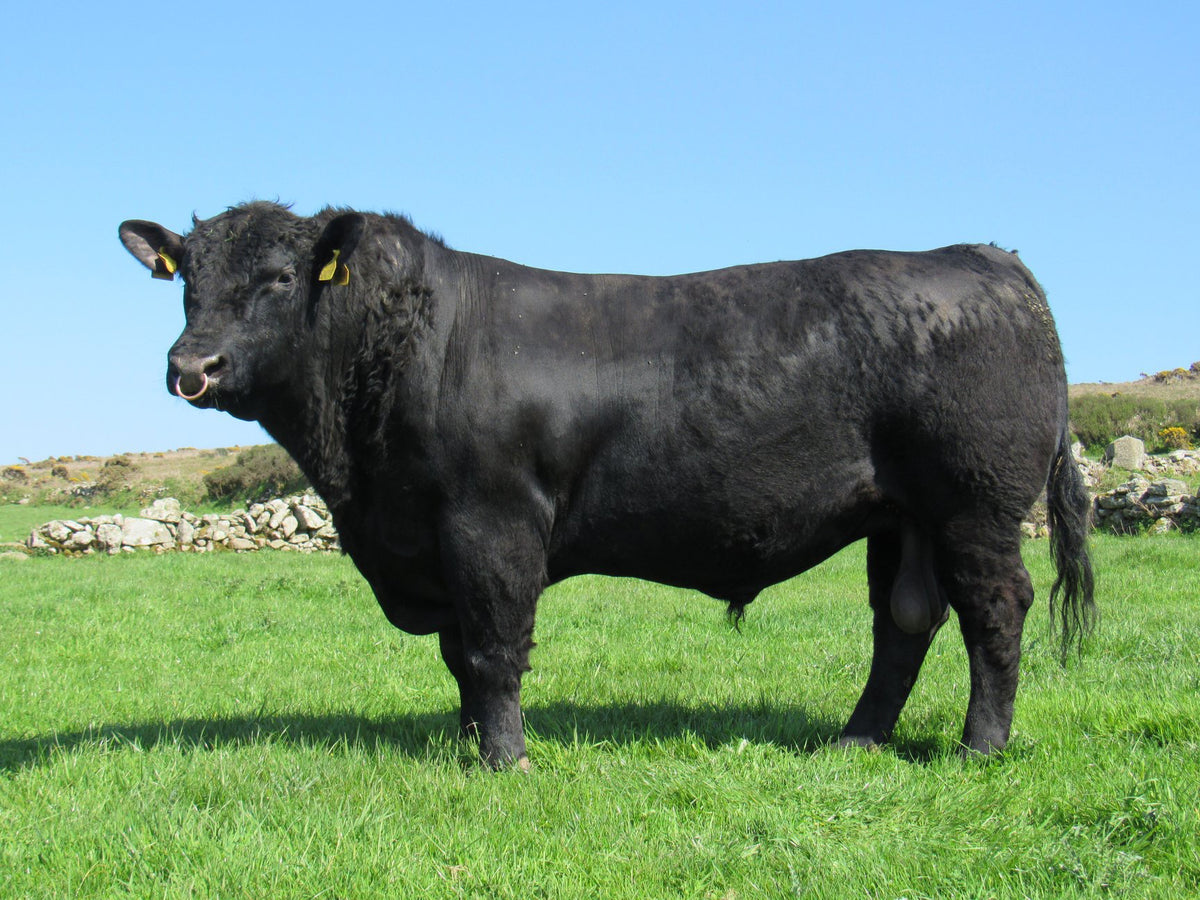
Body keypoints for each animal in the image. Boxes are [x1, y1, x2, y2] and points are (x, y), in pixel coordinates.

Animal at [119, 202, 1095, 768]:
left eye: (281, 277)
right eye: (186, 282)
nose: (191, 367)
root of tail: (983, 256)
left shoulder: (491, 523)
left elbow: (492, 648)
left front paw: (505, 761)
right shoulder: (434, 540)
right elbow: (459, 656)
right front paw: (467, 746)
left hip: (973, 504)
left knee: (993, 609)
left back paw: (979, 748)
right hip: (901, 517)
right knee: (904, 621)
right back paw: (854, 741)